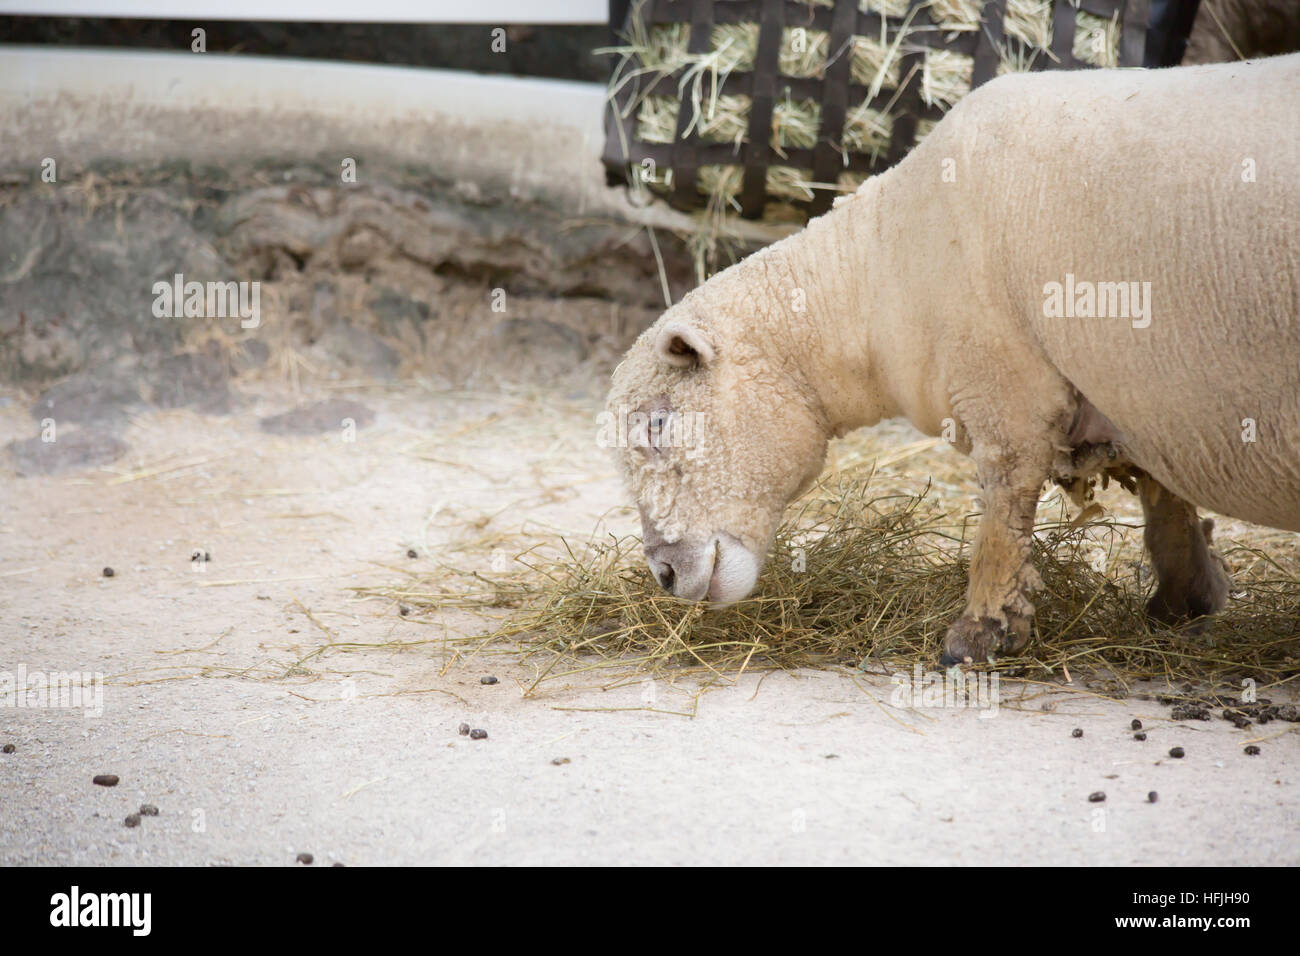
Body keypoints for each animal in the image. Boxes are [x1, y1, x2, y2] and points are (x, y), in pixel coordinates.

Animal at [606, 53, 1300, 665]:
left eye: (658, 425)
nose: (665, 575)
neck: (878, 272)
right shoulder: (1139, 398)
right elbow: (1163, 495)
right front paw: (1188, 597)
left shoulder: (1006, 384)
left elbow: (1002, 511)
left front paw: (978, 637)